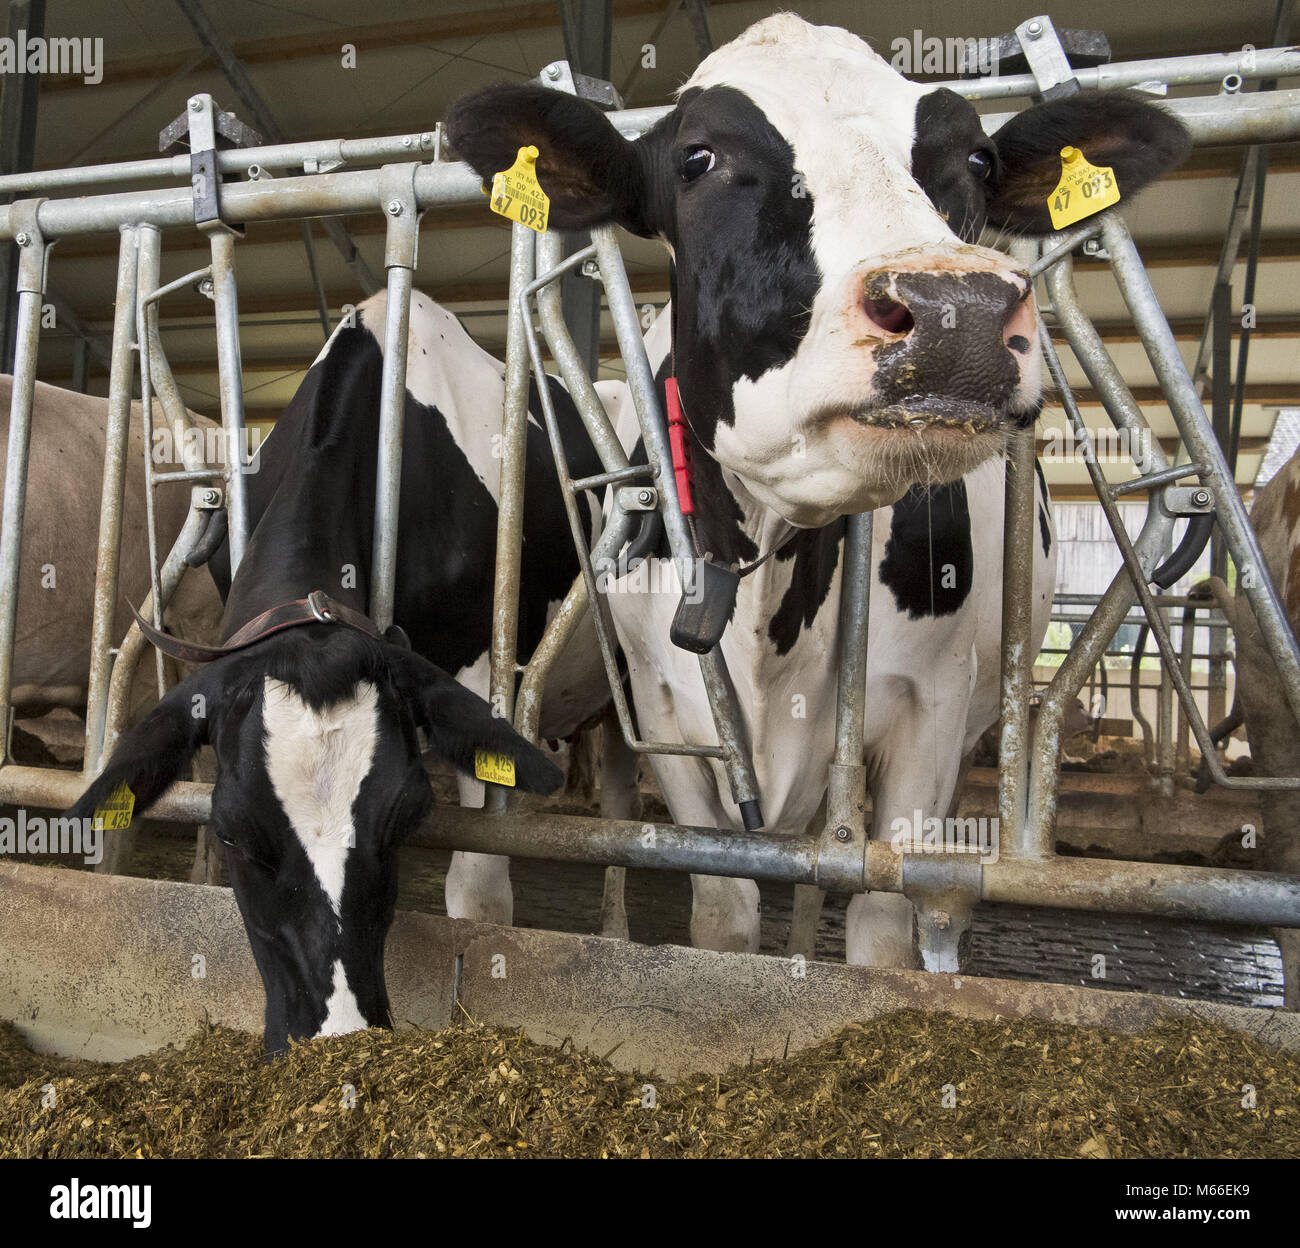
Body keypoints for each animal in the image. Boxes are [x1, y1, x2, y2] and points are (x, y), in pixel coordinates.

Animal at [447, 13, 1190, 968]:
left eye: (977, 160)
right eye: (697, 157)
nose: (956, 312)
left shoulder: (929, 713)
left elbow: (882, 919)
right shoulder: (670, 716)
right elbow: (722, 912)